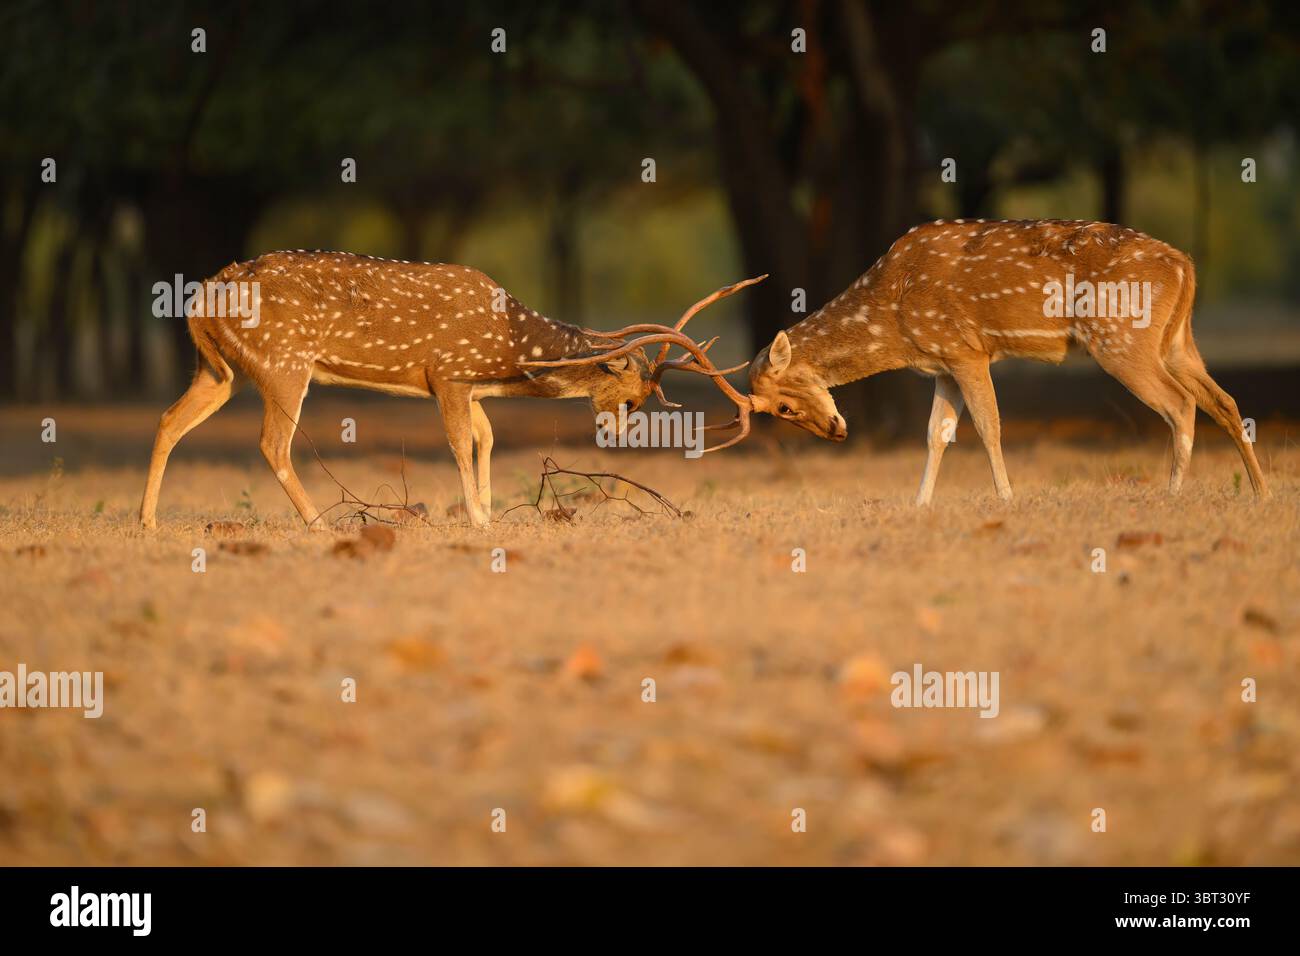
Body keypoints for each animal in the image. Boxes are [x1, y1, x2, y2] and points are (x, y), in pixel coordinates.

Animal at [138, 250, 763, 531]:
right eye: (632, 395)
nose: (617, 429)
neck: (508, 350)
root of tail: (199, 299)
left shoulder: (471, 388)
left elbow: (486, 439)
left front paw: (486, 511)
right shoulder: (449, 375)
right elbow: (463, 443)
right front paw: (481, 520)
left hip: (221, 370)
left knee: (169, 418)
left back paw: (146, 522)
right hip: (285, 363)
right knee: (272, 442)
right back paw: (320, 523)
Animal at [535, 220, 1269, 503]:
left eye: (784, 402)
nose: (835, 431)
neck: (892, 315)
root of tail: (1187, 265)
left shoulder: (967, 348)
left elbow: (989, 427)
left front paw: (1008, 499)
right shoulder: (939, 364)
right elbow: (937, 433)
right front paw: (920, 506)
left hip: (1123, 339)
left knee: (1179, 405)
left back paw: (1173, 494)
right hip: (1176, 338)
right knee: (1225, 399)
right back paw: (1259, 491)